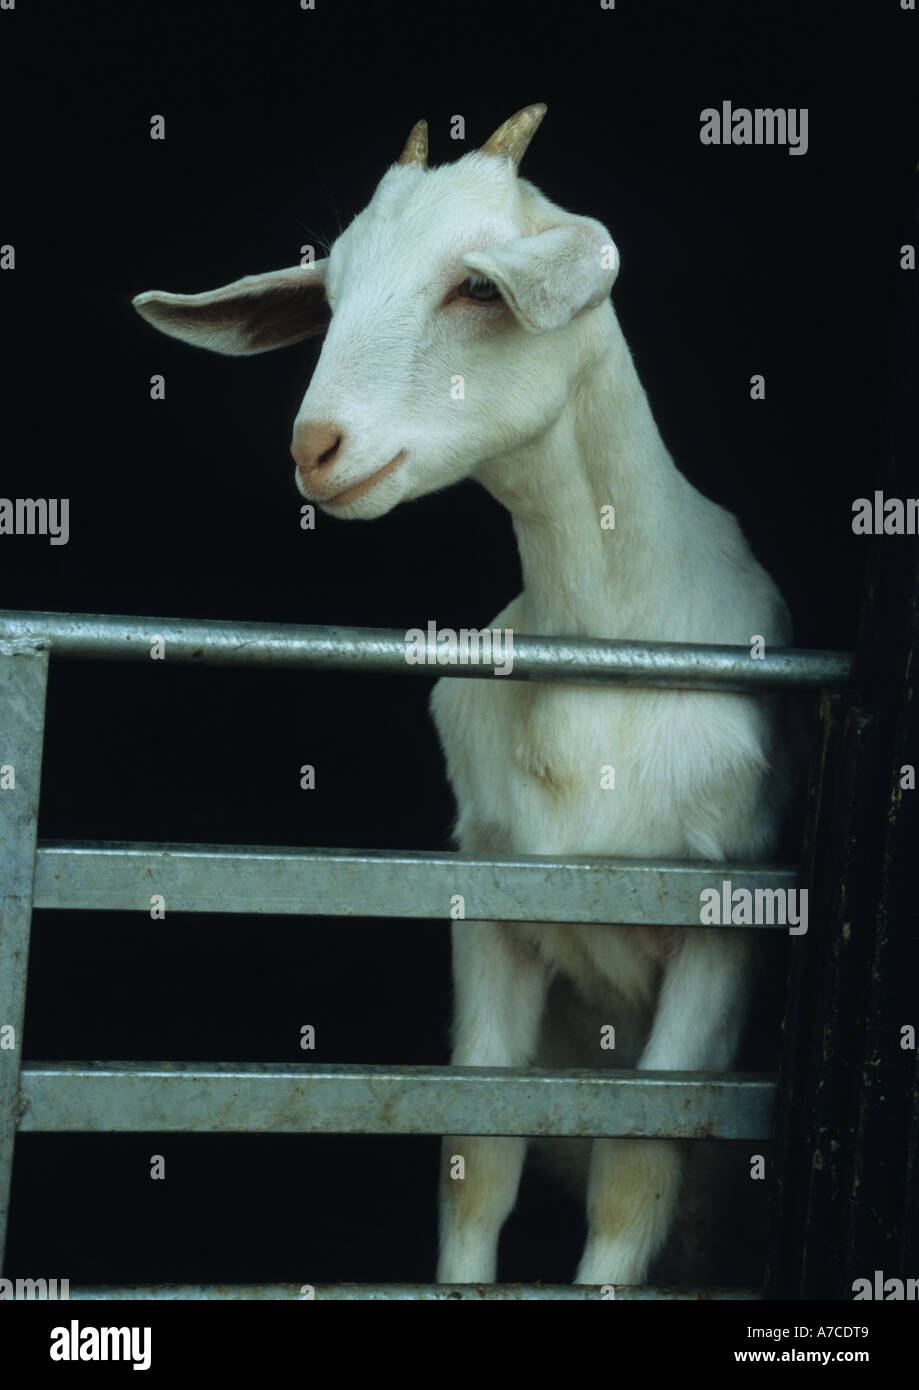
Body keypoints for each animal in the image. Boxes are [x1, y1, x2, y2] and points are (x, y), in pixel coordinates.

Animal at [133, 105, 796, 1287]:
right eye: (331, 294)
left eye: (477, 288)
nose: (316, 448)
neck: (609, 657)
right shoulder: (487, 904)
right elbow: (476, 1147)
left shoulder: (724, 929)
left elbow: (637, 1170)